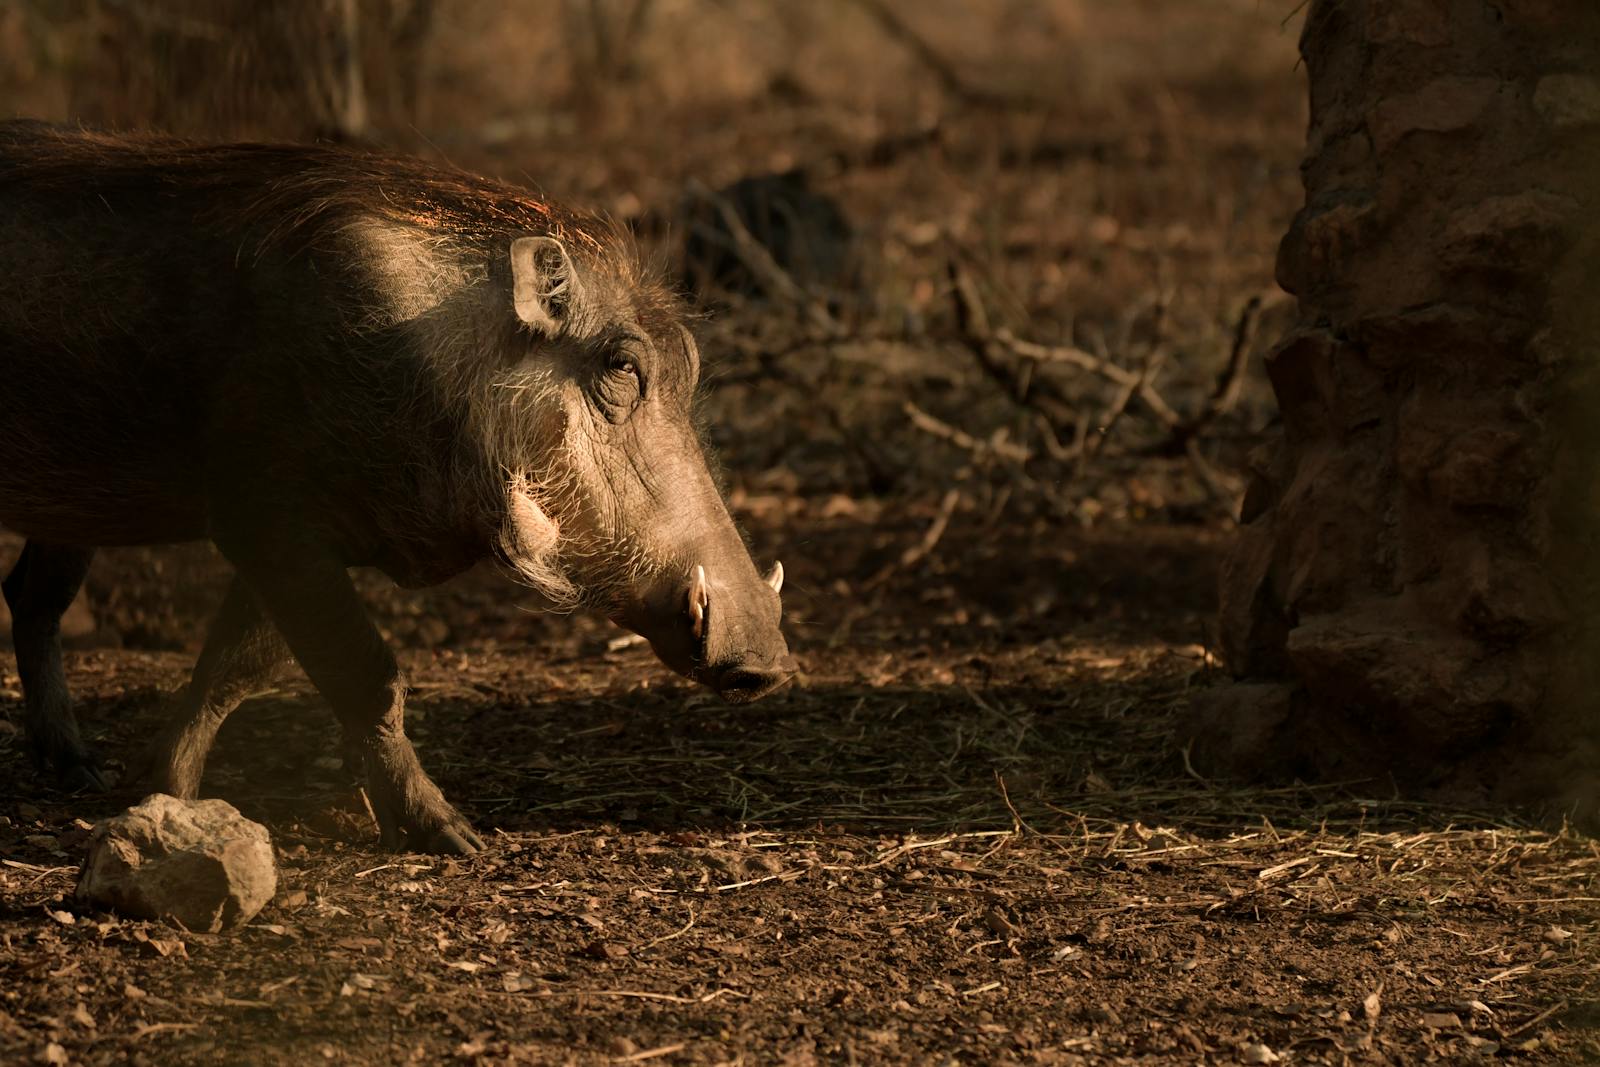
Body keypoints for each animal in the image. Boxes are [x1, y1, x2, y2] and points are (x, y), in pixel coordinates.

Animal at [0, 123, 795, 853]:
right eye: (622, 366)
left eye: (692, 367)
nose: (767, 663)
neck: (432, 357)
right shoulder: (266, 524)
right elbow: (367, 676)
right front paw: (447, 835)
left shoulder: (289, 543)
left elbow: (232, 671)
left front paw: (164, 797)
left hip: (75, 507)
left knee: (32, 598)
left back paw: (75, 768)